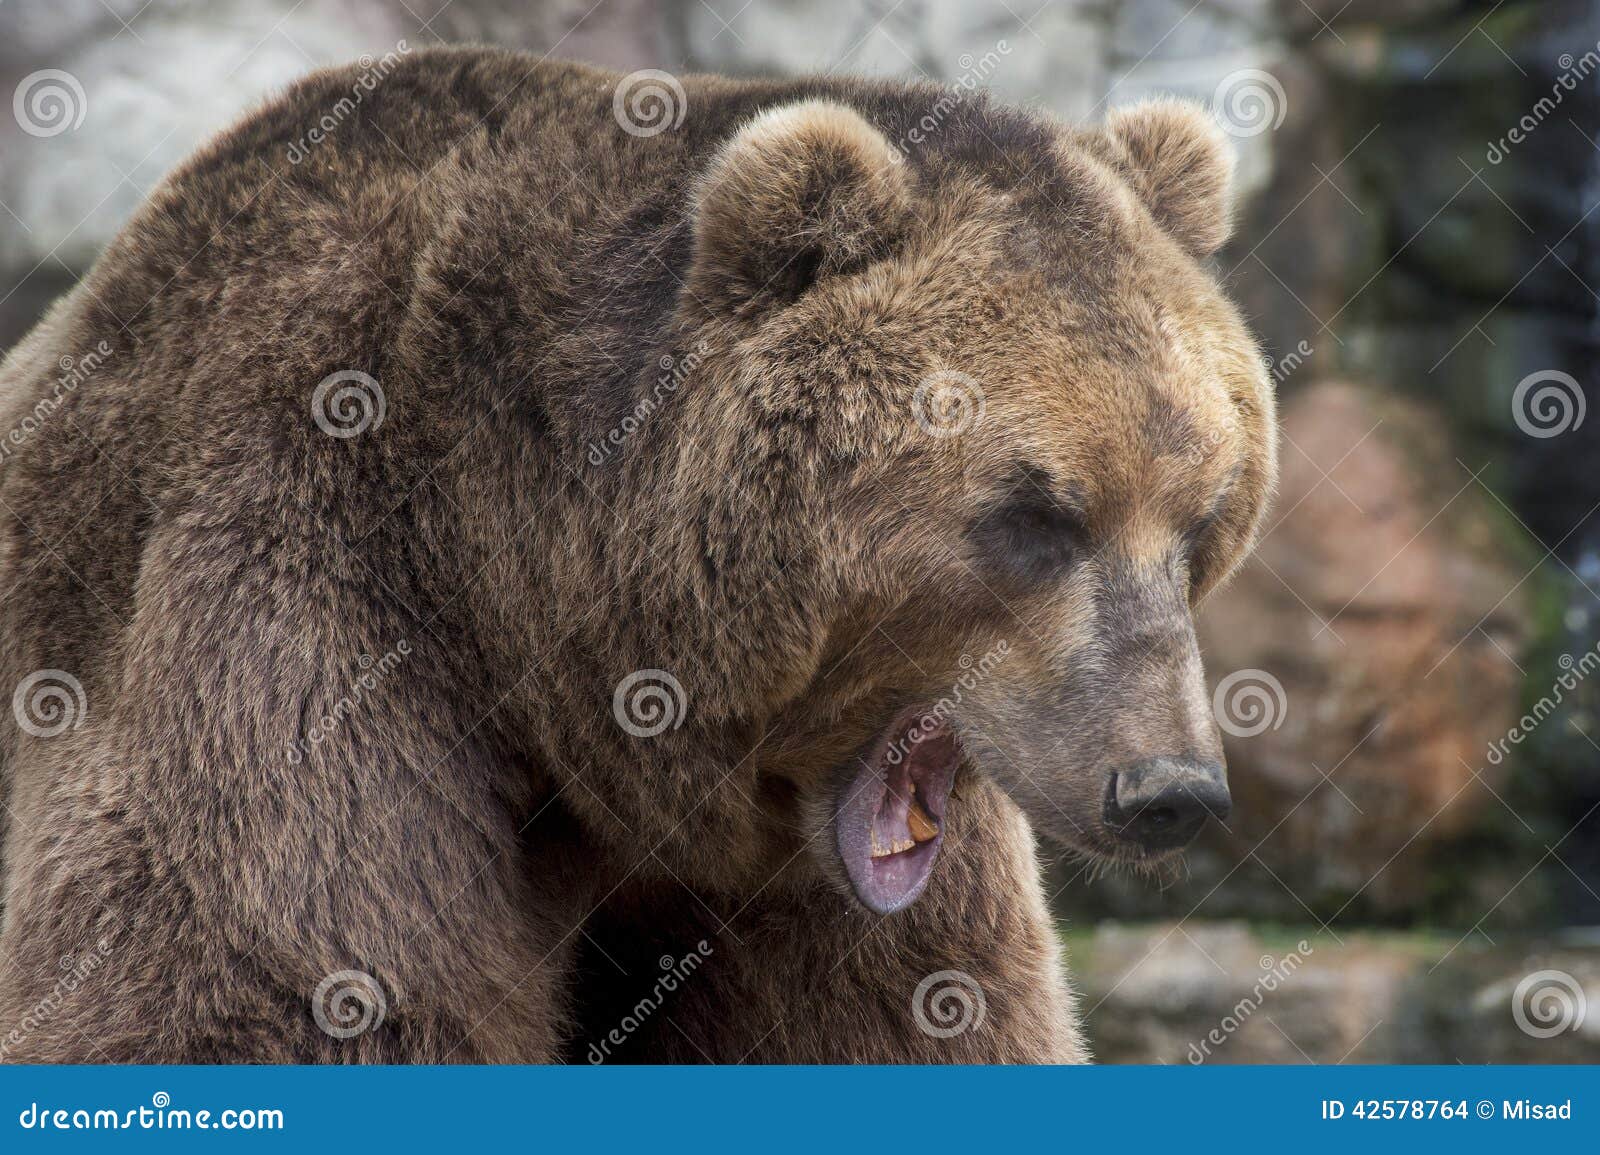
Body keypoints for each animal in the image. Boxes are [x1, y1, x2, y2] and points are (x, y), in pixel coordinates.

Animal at [0, 47, 1274, 1063]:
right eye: (1037, 514)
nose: (1165, 789)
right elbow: (276, 994)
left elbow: (917, 1023)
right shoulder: (298, 618)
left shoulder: (820, 890)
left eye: (1203, 515)